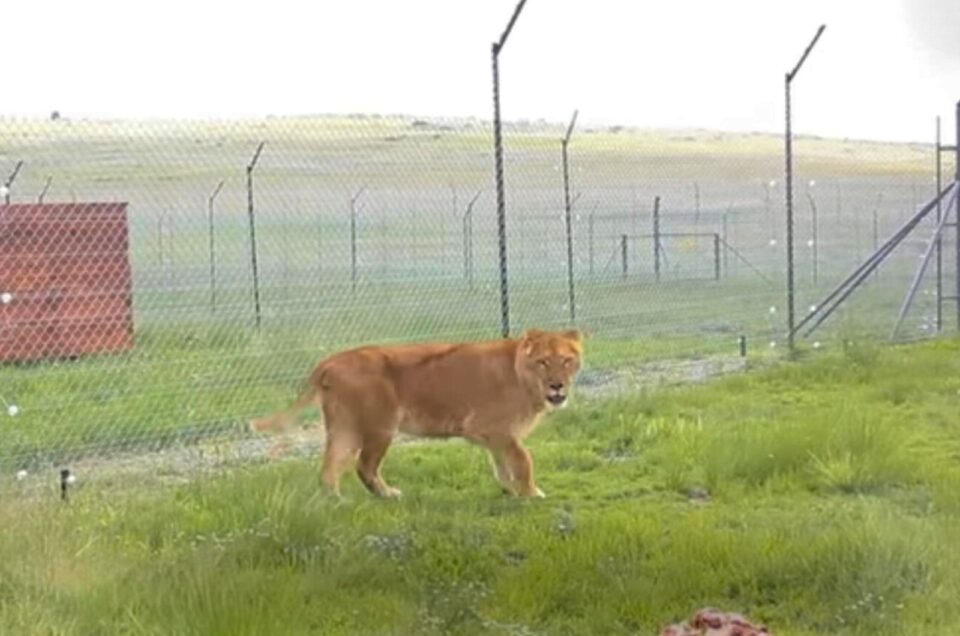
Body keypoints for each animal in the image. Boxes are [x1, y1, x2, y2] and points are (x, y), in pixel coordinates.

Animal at [250, 328, 584, 499]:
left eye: (567, 361)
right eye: (543, 361)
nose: (557, 385)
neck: (524, 378)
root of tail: (329, 362)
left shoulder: (492, 435)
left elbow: (502, 462)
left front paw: (511, 489)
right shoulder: (486, 426)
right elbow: (523, 458)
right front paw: (531, 493)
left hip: (344, 427)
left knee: (329, 468)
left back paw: (336, 502)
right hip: (380, 426)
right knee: (363, 466)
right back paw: (387, 495)